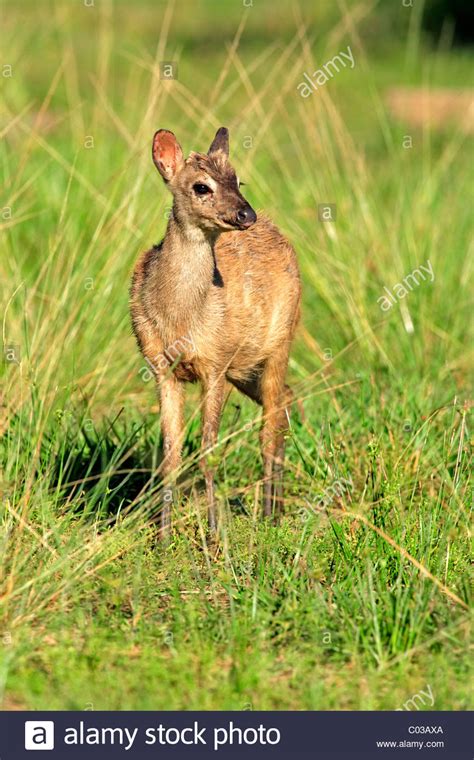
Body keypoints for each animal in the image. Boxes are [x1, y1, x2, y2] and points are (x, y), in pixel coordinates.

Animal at [130, 127, 301, 538]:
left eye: (238, 181)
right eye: (201, 186)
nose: (245, 214)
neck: (180, 318)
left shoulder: (215, 365)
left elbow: (208, 451)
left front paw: (213, 538)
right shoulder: (162, 368)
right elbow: (171, 455)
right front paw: (162, 538)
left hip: (280, 341)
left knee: (270, 425)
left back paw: (268, 516)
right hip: (246, 367)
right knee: (284, 401)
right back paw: (275, 508)